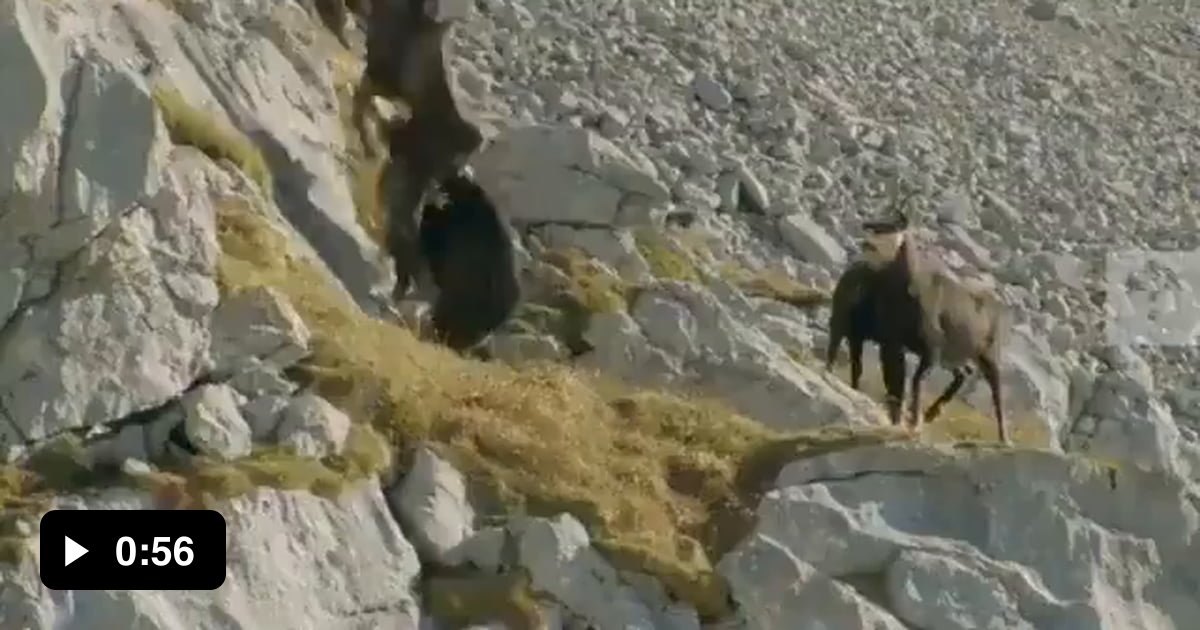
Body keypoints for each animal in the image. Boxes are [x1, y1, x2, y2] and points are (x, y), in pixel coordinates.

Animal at [827, 196, 1011, 443]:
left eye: (887, 226)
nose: (865, 229)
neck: (910, 292)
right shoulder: (894, 345)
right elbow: (895, 382)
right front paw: (901, 420)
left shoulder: (930, 350)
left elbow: (914, 382)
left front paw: (914, 422)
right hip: (953, 355)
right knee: (963, 373)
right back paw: (933, 412)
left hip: (988, 355)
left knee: (996, 392)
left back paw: (1003, 438)